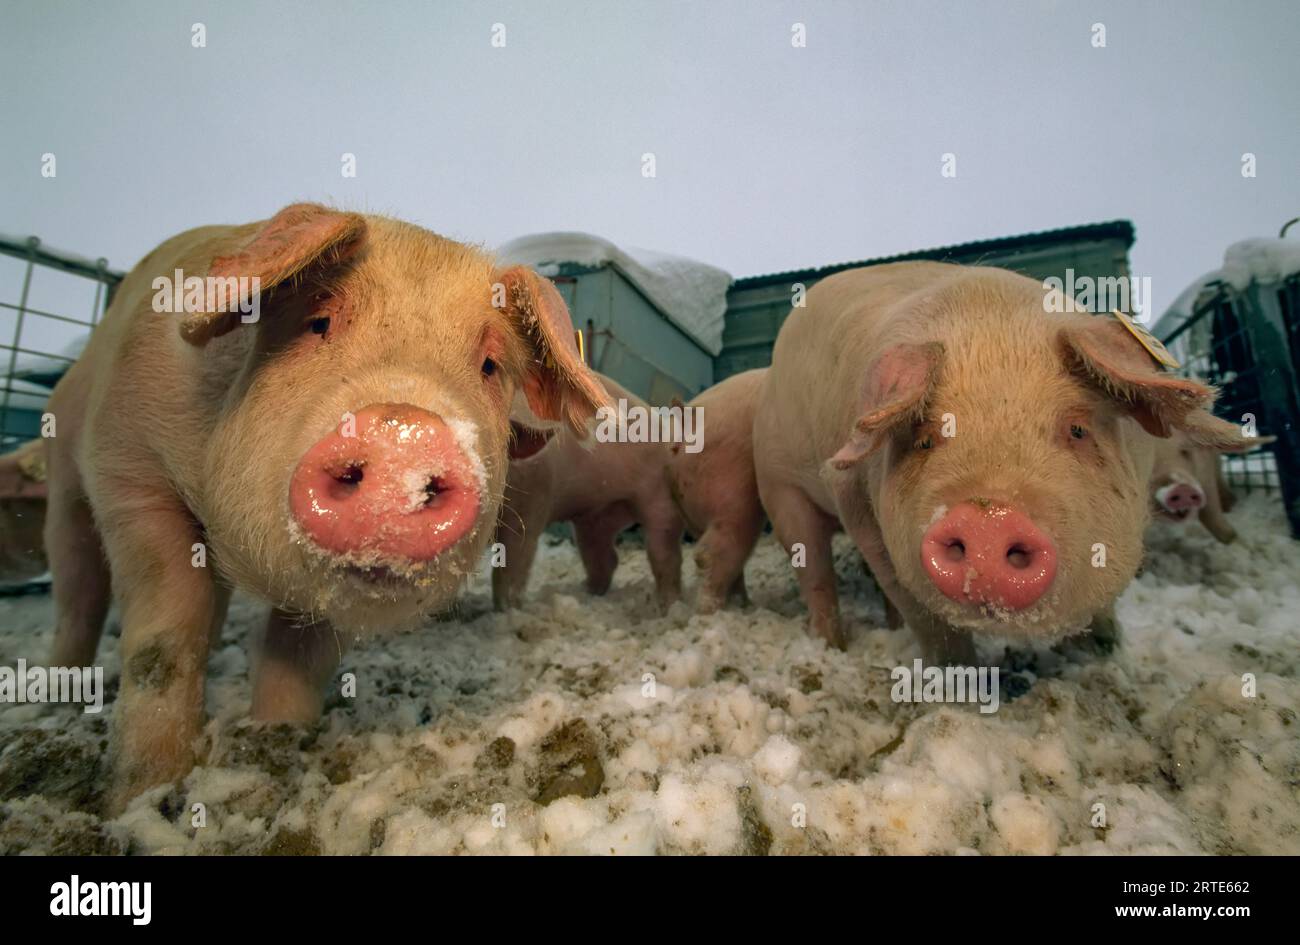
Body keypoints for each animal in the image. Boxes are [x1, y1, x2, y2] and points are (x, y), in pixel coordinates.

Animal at [40, 203, 608, 810]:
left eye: (490, 366)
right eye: (318, 322)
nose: (403, 429)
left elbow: (297, 655)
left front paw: (278, 735)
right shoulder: (128, 468)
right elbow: (165, 632)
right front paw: (145, 792)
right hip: (65, 474)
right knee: (78, 586)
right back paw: (57, 698)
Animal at [492, 373, 684, 610]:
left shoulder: (531, 498)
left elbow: (512, 561)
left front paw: (507, 609)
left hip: (661, 499)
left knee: (664, 552)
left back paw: (667, 605)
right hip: (593, 519)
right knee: (606, 557)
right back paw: (588, 593)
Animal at [665, 368, 767, 612]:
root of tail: (688, 417)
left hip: (692, 510)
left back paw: (742, 606)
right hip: (734, 495)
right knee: (713, 552)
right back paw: (716, 610)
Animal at [753, 261, 1257, 662]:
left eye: (1077, 429)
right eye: (925, 439)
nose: (988, 520)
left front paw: (1106, 653)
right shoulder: (856, 504)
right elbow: (930, 622)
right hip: (780, 486)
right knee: (815, 573)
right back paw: (831, 646)